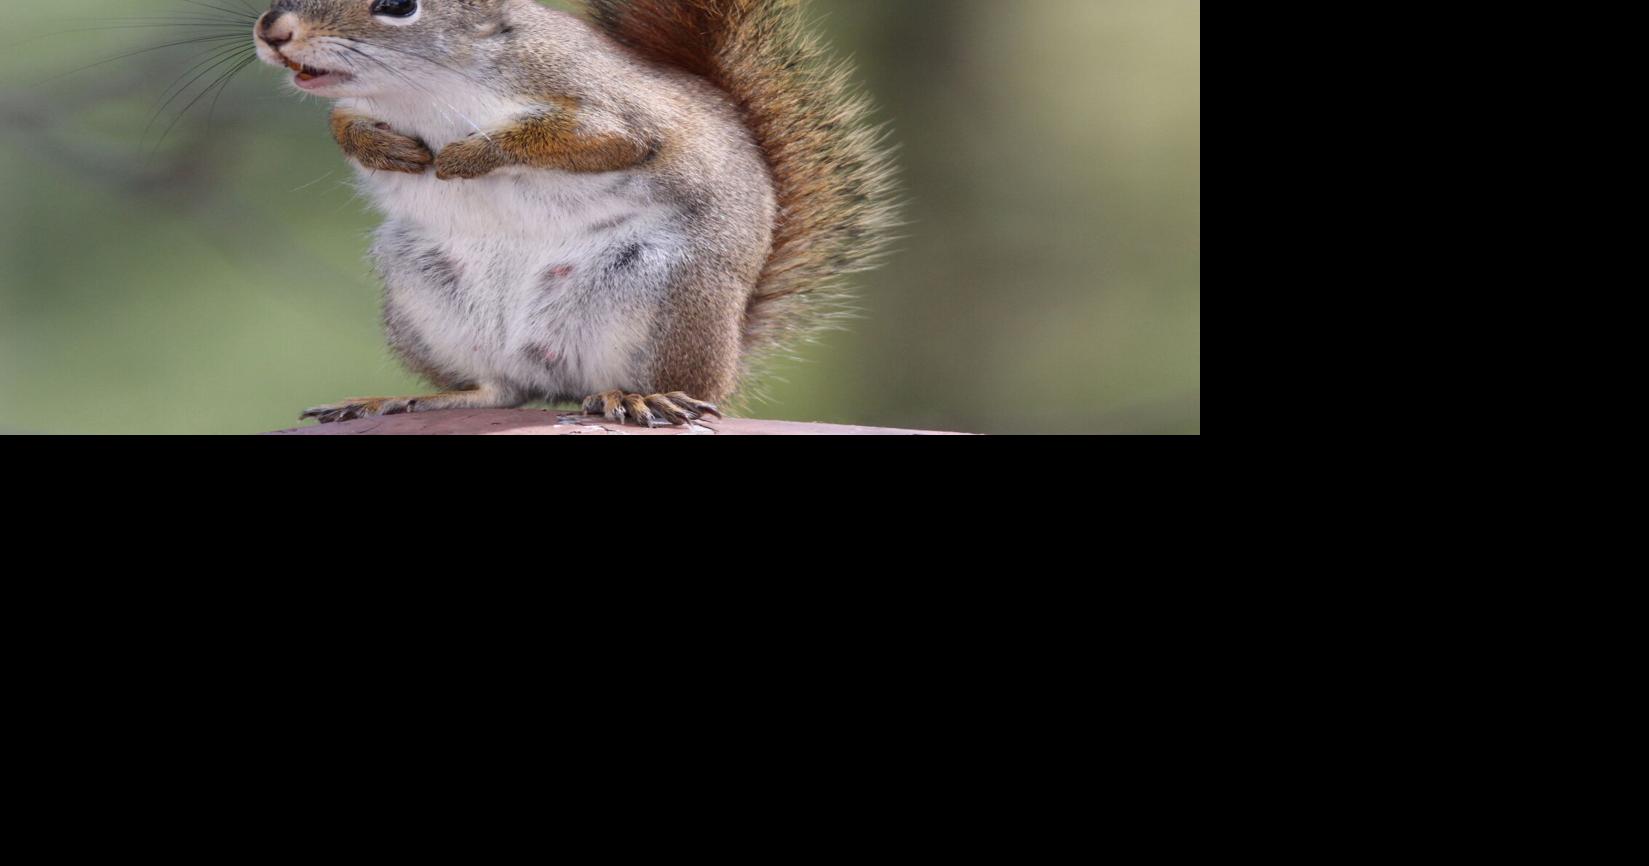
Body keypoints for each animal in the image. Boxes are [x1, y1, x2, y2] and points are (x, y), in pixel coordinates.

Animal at [250, 0, 897, 427]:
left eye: (397, 5)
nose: (273, 29)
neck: (421, 91)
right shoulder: (352, 105)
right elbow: (343, 122)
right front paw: (382, 149)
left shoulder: (600, 100)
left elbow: (598, 140)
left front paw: (469, 155)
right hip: (424, 292)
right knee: (502, 391)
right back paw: (408, 399)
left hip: (673, 292)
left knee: (673, 382)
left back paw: (642, 398)